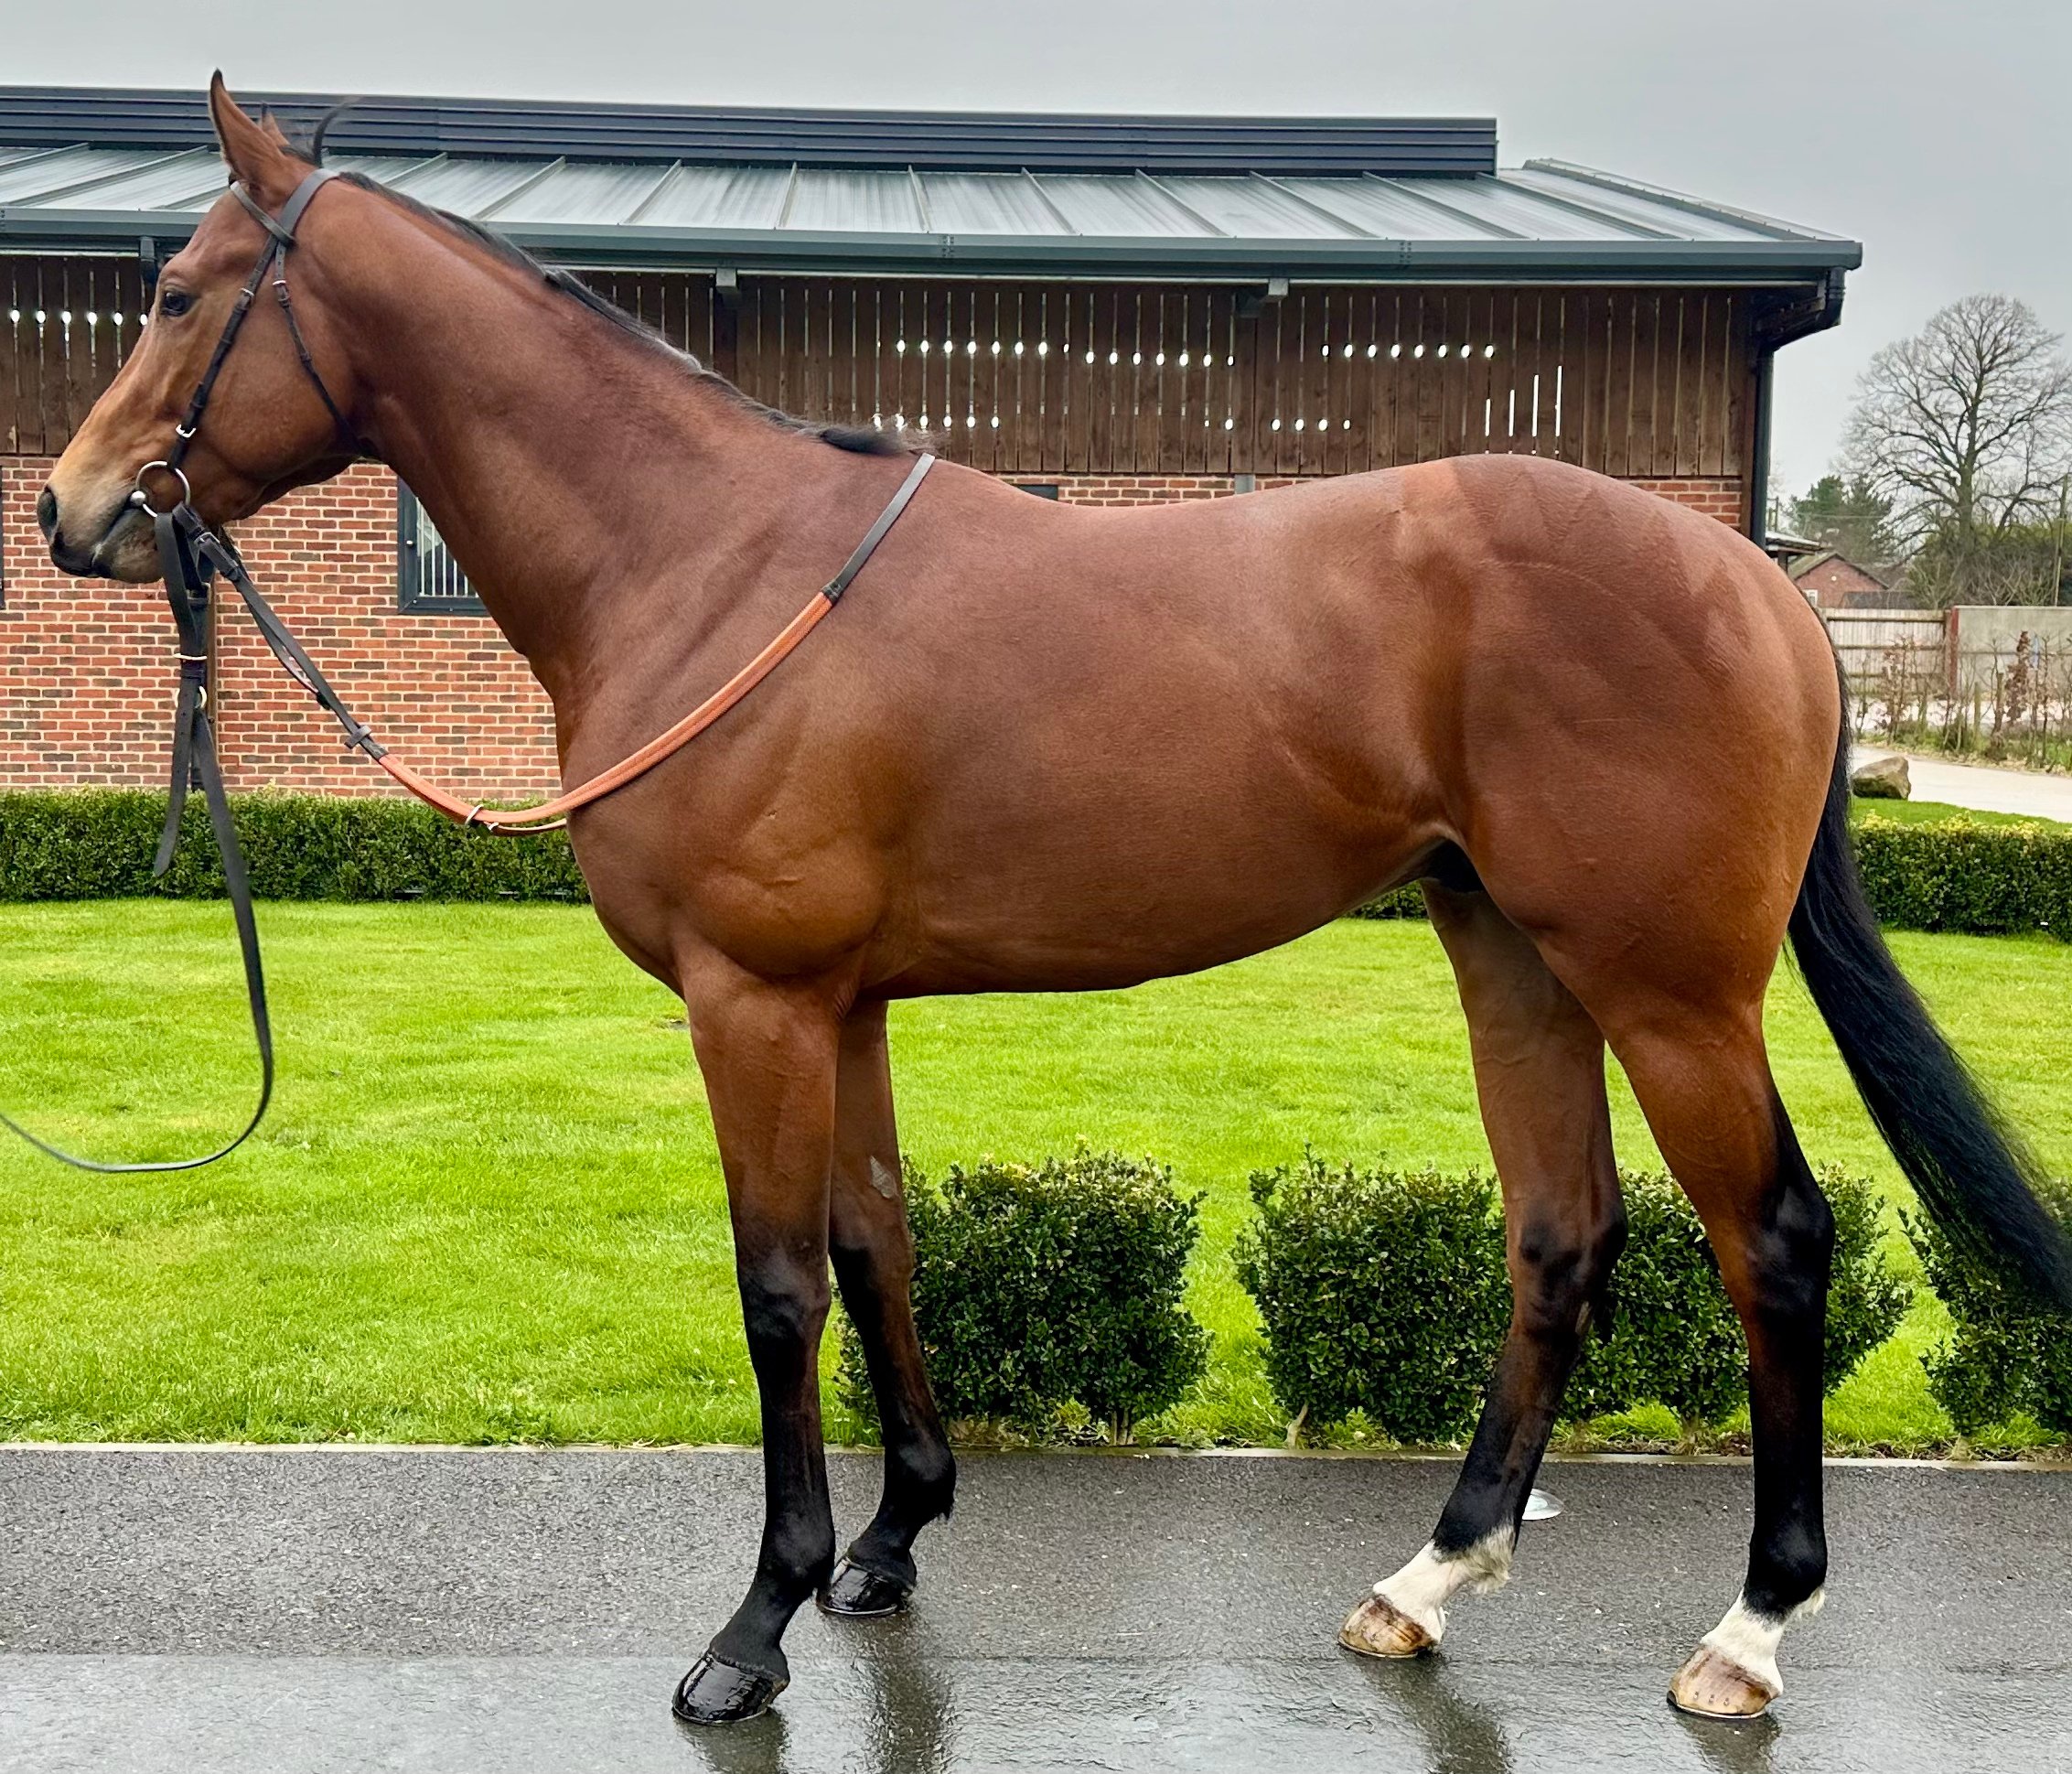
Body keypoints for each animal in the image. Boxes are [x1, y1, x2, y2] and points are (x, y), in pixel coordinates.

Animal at [40, 79, 2072, 1727]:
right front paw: (890, 1540)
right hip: (1513, 953)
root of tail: (1754, 578)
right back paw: (1428, 1578)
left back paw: (1748, 1629)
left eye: (177, 295)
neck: (705, 559)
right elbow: (875, 1243)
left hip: (1669, 990)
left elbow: (780, 1286)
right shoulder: (840, 1000)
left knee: (1775, 1243)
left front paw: (756, 1622)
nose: (75, 512)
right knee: (1560, 1237)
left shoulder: (752, 997)